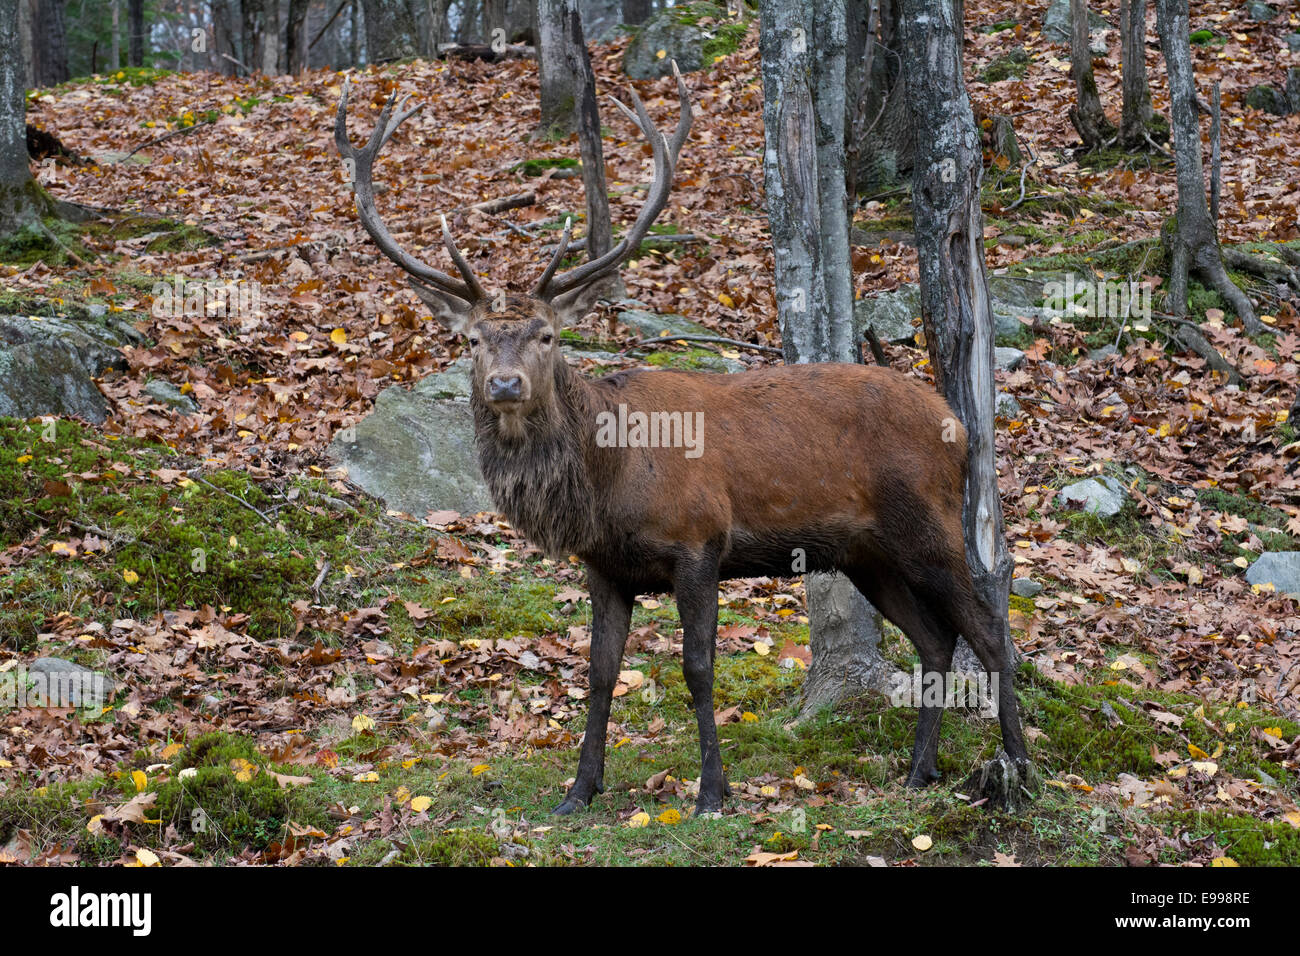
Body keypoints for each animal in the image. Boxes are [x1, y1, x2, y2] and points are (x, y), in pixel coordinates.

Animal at [335, 69, 1032, 816]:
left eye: (547, 335)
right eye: (471, 340)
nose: (503, 383)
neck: (609, 478)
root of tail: (960, 424)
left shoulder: (698, 541)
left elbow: (698, 667)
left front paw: (712, 792)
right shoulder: (605, 566)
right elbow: (599, 673)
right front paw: (579, 791)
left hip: (928, 525)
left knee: (991, 631)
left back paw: (1018, 768)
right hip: (866, 553)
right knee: (935, 641)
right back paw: (918, 771)